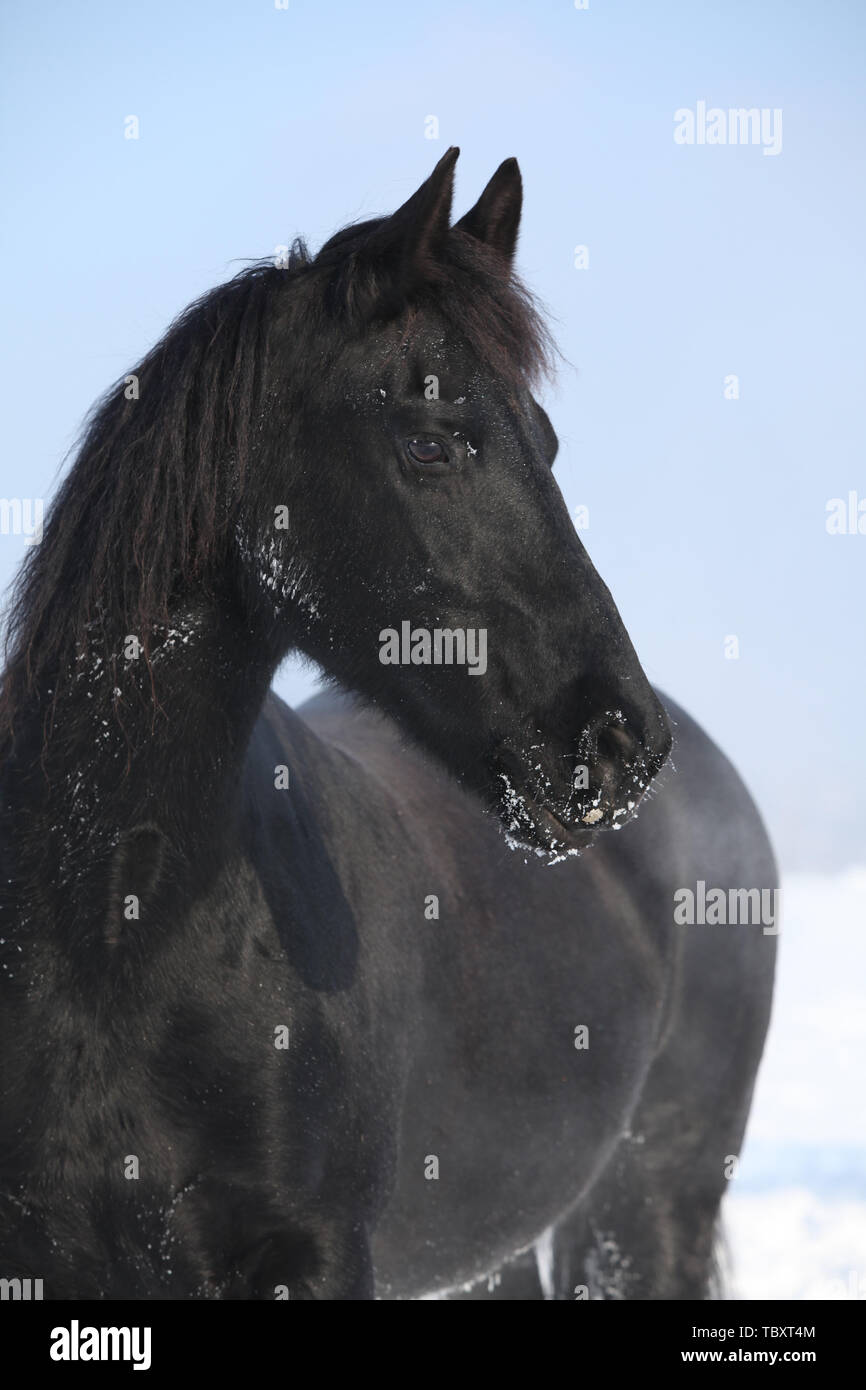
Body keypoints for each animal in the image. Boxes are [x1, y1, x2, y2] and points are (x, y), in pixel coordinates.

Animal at [0, 149, 776, 1300]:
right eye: (430, 441)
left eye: (547, 440)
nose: (616, 744)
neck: (111, 918)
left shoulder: (316, 1254)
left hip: (642, 1212)